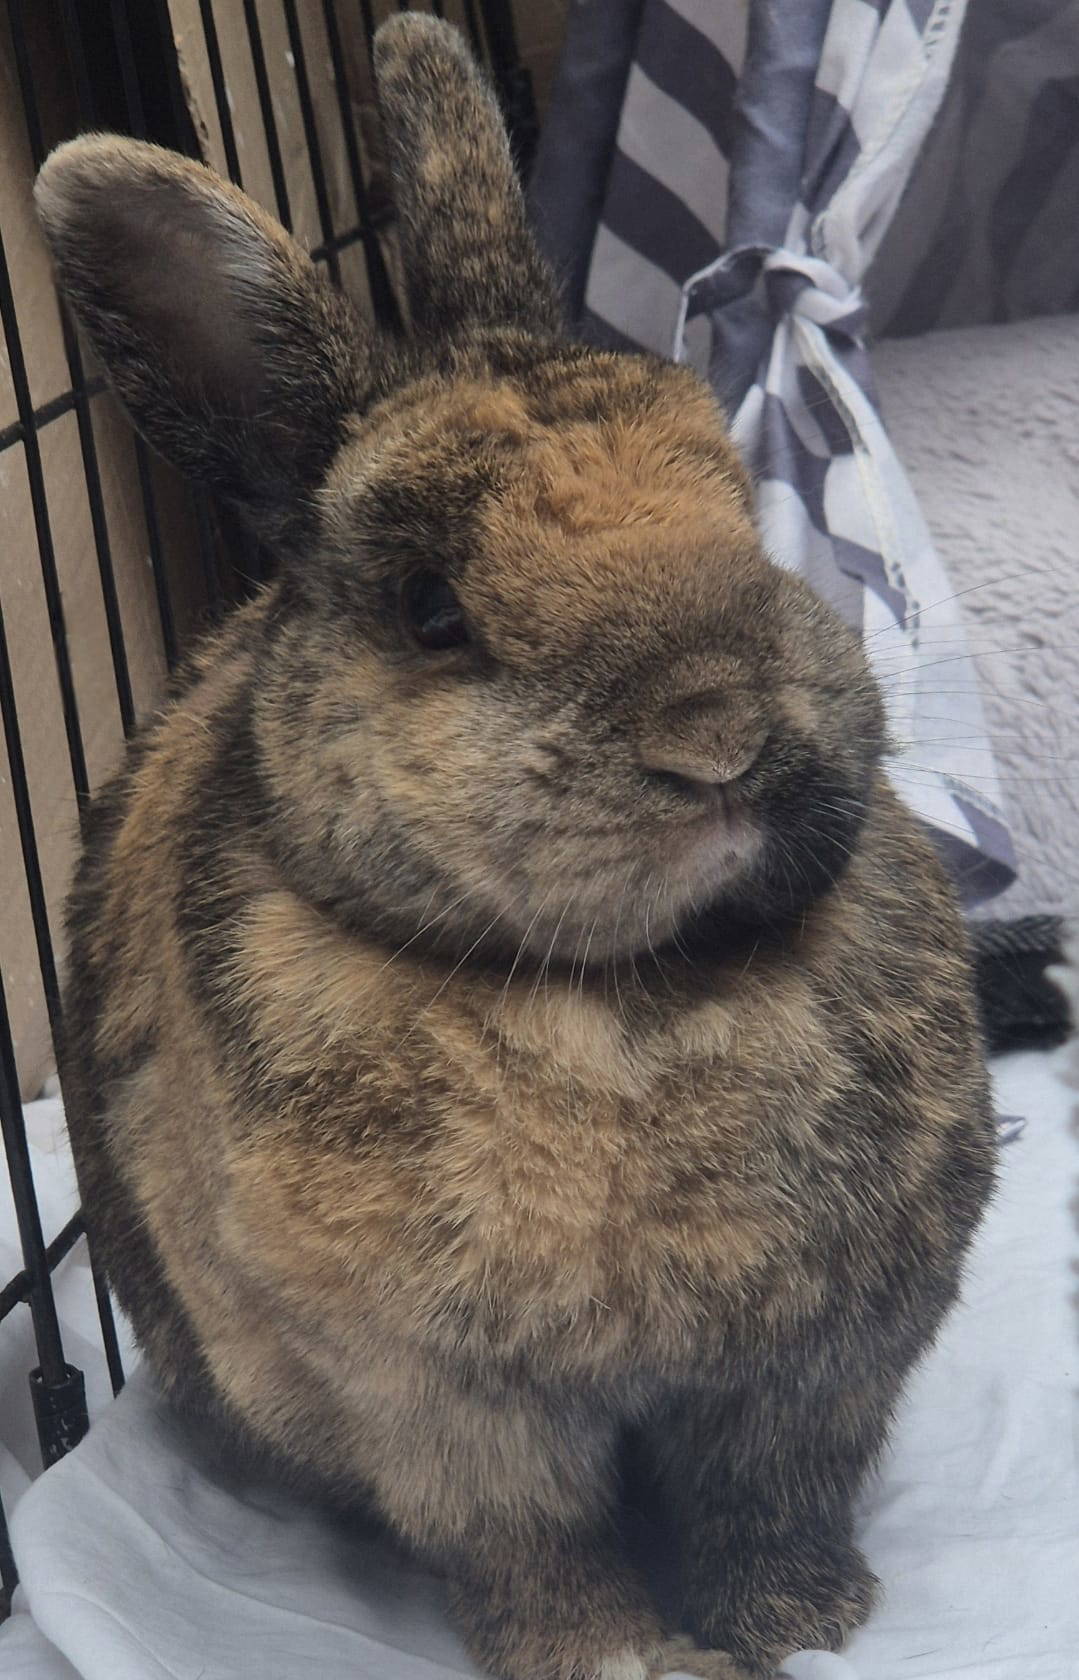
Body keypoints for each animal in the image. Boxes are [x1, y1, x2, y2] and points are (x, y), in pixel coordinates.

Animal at [35, 15, 994, 1680]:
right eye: (431, 610)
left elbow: (766, 1501)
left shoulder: (814, 1370)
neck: (632, 997)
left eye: (742, 515)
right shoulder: (444, 1414)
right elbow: (537, 1550)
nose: (714, 732)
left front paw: (800, 1623)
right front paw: (625, 1657)